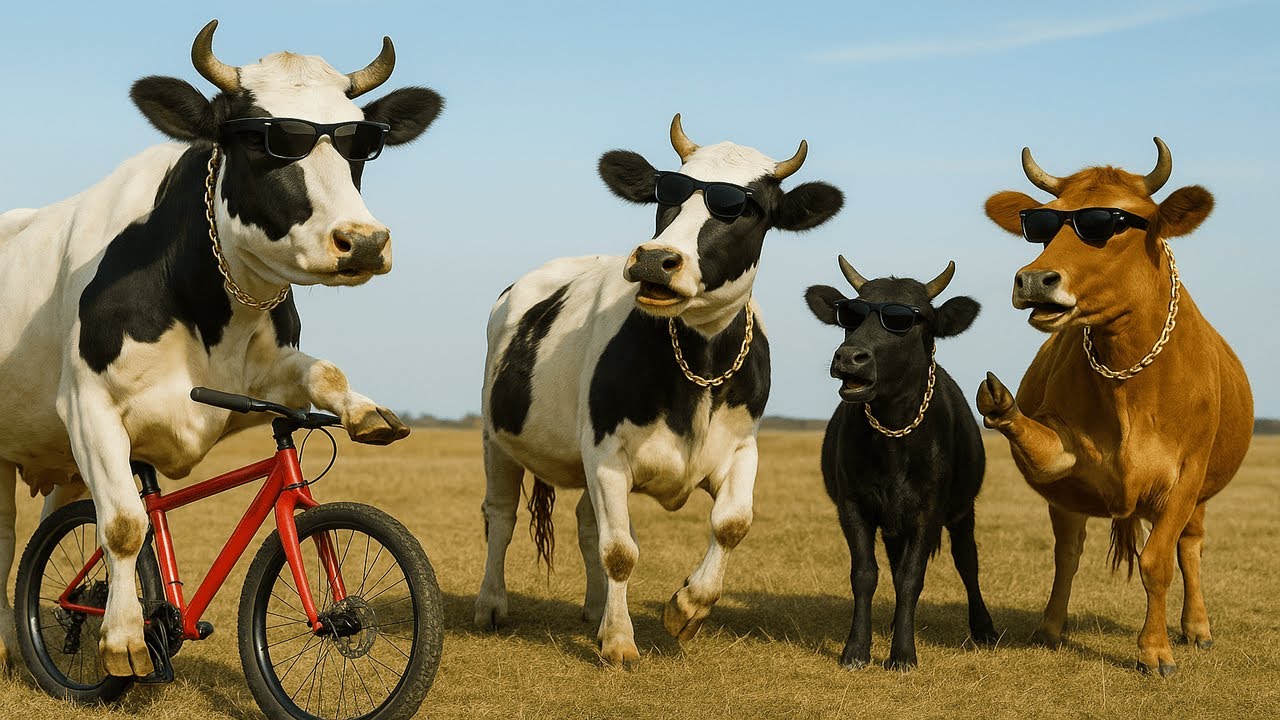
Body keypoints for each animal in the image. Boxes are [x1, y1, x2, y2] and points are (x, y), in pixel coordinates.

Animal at [0, 20, 443, 676]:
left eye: (362, 143)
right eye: (266, 140)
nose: (364, 241)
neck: (204, 305)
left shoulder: (257, 381)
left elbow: (325, 374)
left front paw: (366, 410)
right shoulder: (86, 405)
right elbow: (126, 524)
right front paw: (125, 640)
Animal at [475, 116, 844, 664]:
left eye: (747, 208)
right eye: (664, 192)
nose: (655, 259)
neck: (699, 365)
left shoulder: (742, 447)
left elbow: (732, 523)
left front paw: (686, 609)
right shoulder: (606, 452)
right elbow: (620, 550)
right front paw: (619, 641)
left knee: (585, 522)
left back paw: (594, 609)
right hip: (496, 438)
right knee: (500, 516)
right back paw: (492, 605)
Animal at [805, 256, 997, 670]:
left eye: (908, 319)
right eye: (850, 315)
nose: (850, 357)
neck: (893, 437)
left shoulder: (930, 509)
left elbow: (913, 576)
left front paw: (903, 654)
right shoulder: (853, 504)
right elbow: (866, 574)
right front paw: (856, 650)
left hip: (963, 510)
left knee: (967, 561)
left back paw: (984, 628)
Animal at [977, 139, 1253, 675]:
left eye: (1113, 222)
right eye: (1043, 224)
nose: (1034, 280)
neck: (1131, 383)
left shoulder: (1187, 477)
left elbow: (1159, 561)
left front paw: (1156, 650)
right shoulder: (1065, 456)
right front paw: (1001, 405)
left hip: (1202, 496)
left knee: (1191, 547)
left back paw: (1197, 627)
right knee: (1068, 551)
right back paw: (1051, 628)